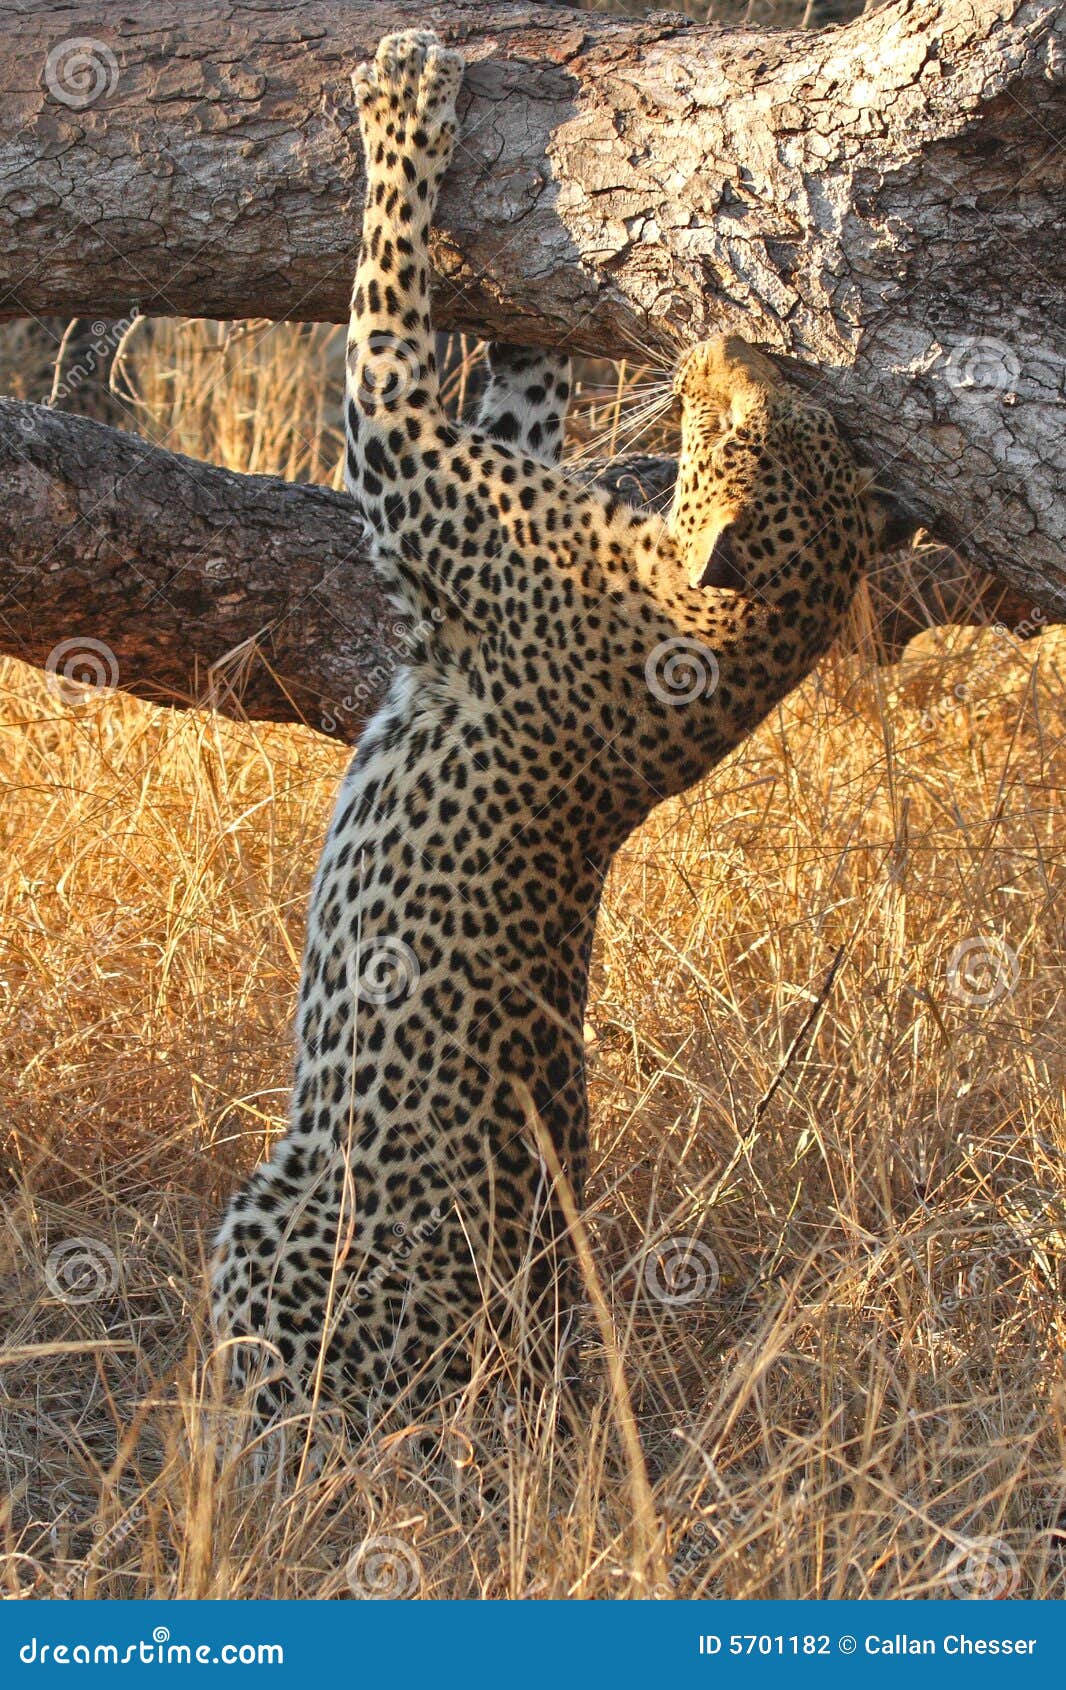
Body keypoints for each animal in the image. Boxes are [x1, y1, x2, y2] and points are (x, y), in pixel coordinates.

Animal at [212, 28, 908, 1437]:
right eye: (791, 411)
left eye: (738, 422)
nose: (726, 340)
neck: (728, 628)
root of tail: (513, 1371)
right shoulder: (489, 484)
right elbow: (519, 385)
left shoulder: (412, 461)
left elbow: (386, 299)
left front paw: (405, 96)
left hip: (278, 1225)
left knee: (274, 1420)